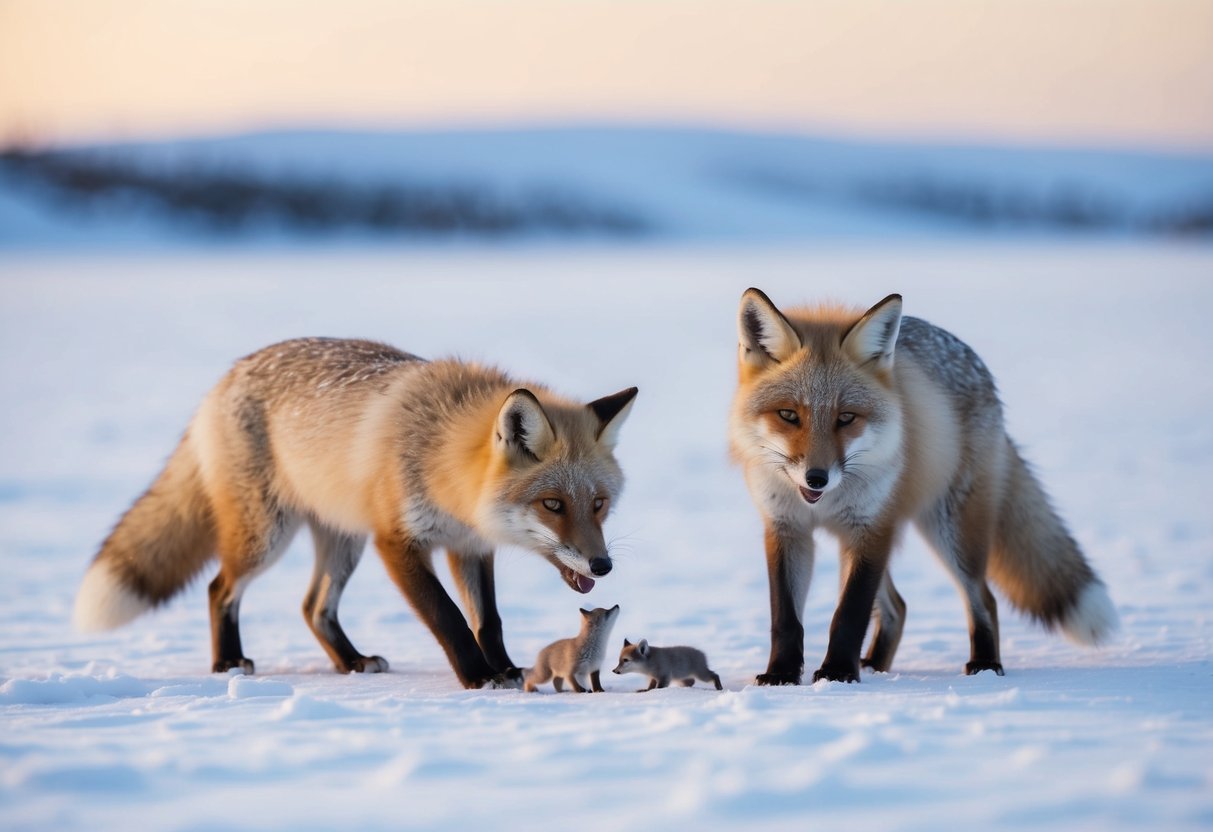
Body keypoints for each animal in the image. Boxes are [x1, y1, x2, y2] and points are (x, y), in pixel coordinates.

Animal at [73, 337, 637, 689]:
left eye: (598, 504)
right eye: (553, 504)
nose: (604, 566)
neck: (439, 452)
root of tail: (227, 375)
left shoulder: (468, 544)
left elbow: (489, 620)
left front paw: (503, 669)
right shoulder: (397, 541)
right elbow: (450, 618)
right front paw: (477, 677)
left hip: (343, 542)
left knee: (312, 607)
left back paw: (351, 661)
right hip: (267, 536)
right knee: (219, 588)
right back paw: (228, 661)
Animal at [730, 289, 1117, 685]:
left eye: (846, 418)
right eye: (789, 415)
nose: (816, 478)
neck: (822, 503)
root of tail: (983, 373)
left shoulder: (871, 528)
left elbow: (849, 613)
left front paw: (837, 673)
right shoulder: (786, 527)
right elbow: (786, 618)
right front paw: (781, 674)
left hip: (948, 530)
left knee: (982, 599)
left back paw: (984, 664)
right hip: (863, 539)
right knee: (898, 607)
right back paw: (875, 665)